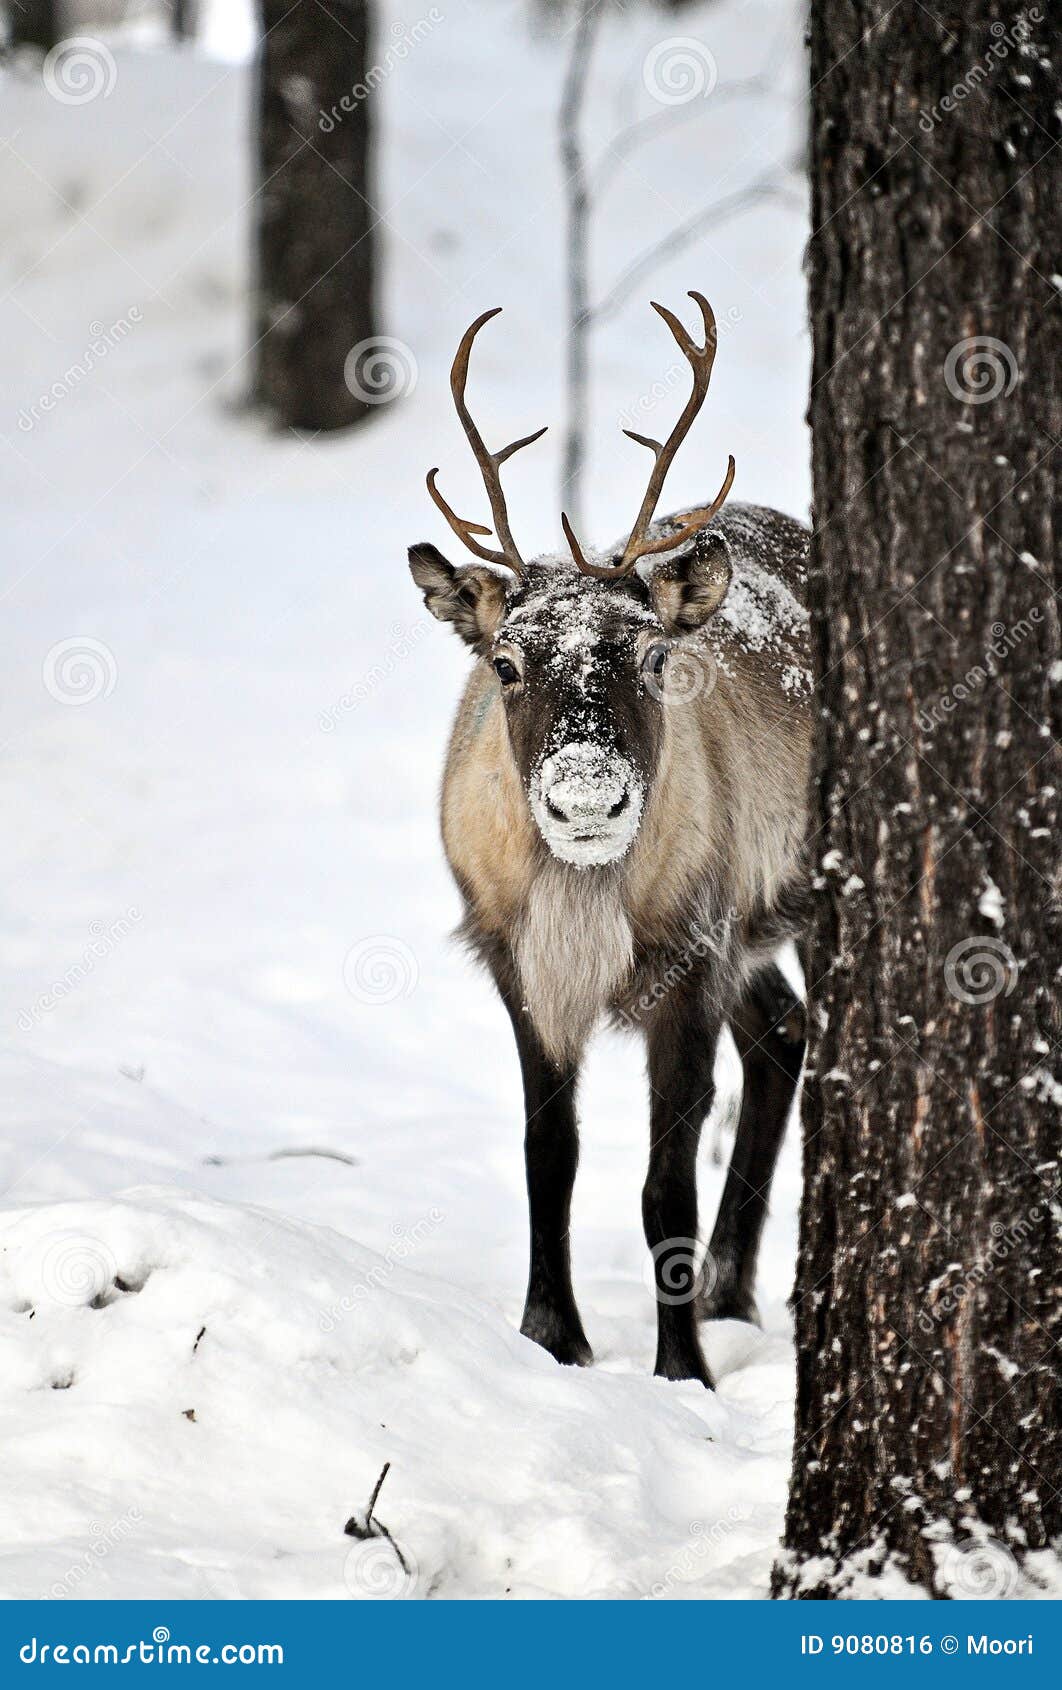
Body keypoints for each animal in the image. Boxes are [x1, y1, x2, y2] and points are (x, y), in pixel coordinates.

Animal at [408, 293, 810, 1387]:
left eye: (652, 654)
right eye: (506, 661)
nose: (587, 796)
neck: (589, 903)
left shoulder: (691, 956)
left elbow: (664, 1184)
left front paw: (683, 1373)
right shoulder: (517, 962)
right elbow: (550, 1157)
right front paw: (553, 1334)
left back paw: (723, 1305)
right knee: (785, 1030)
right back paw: (729, 1293)